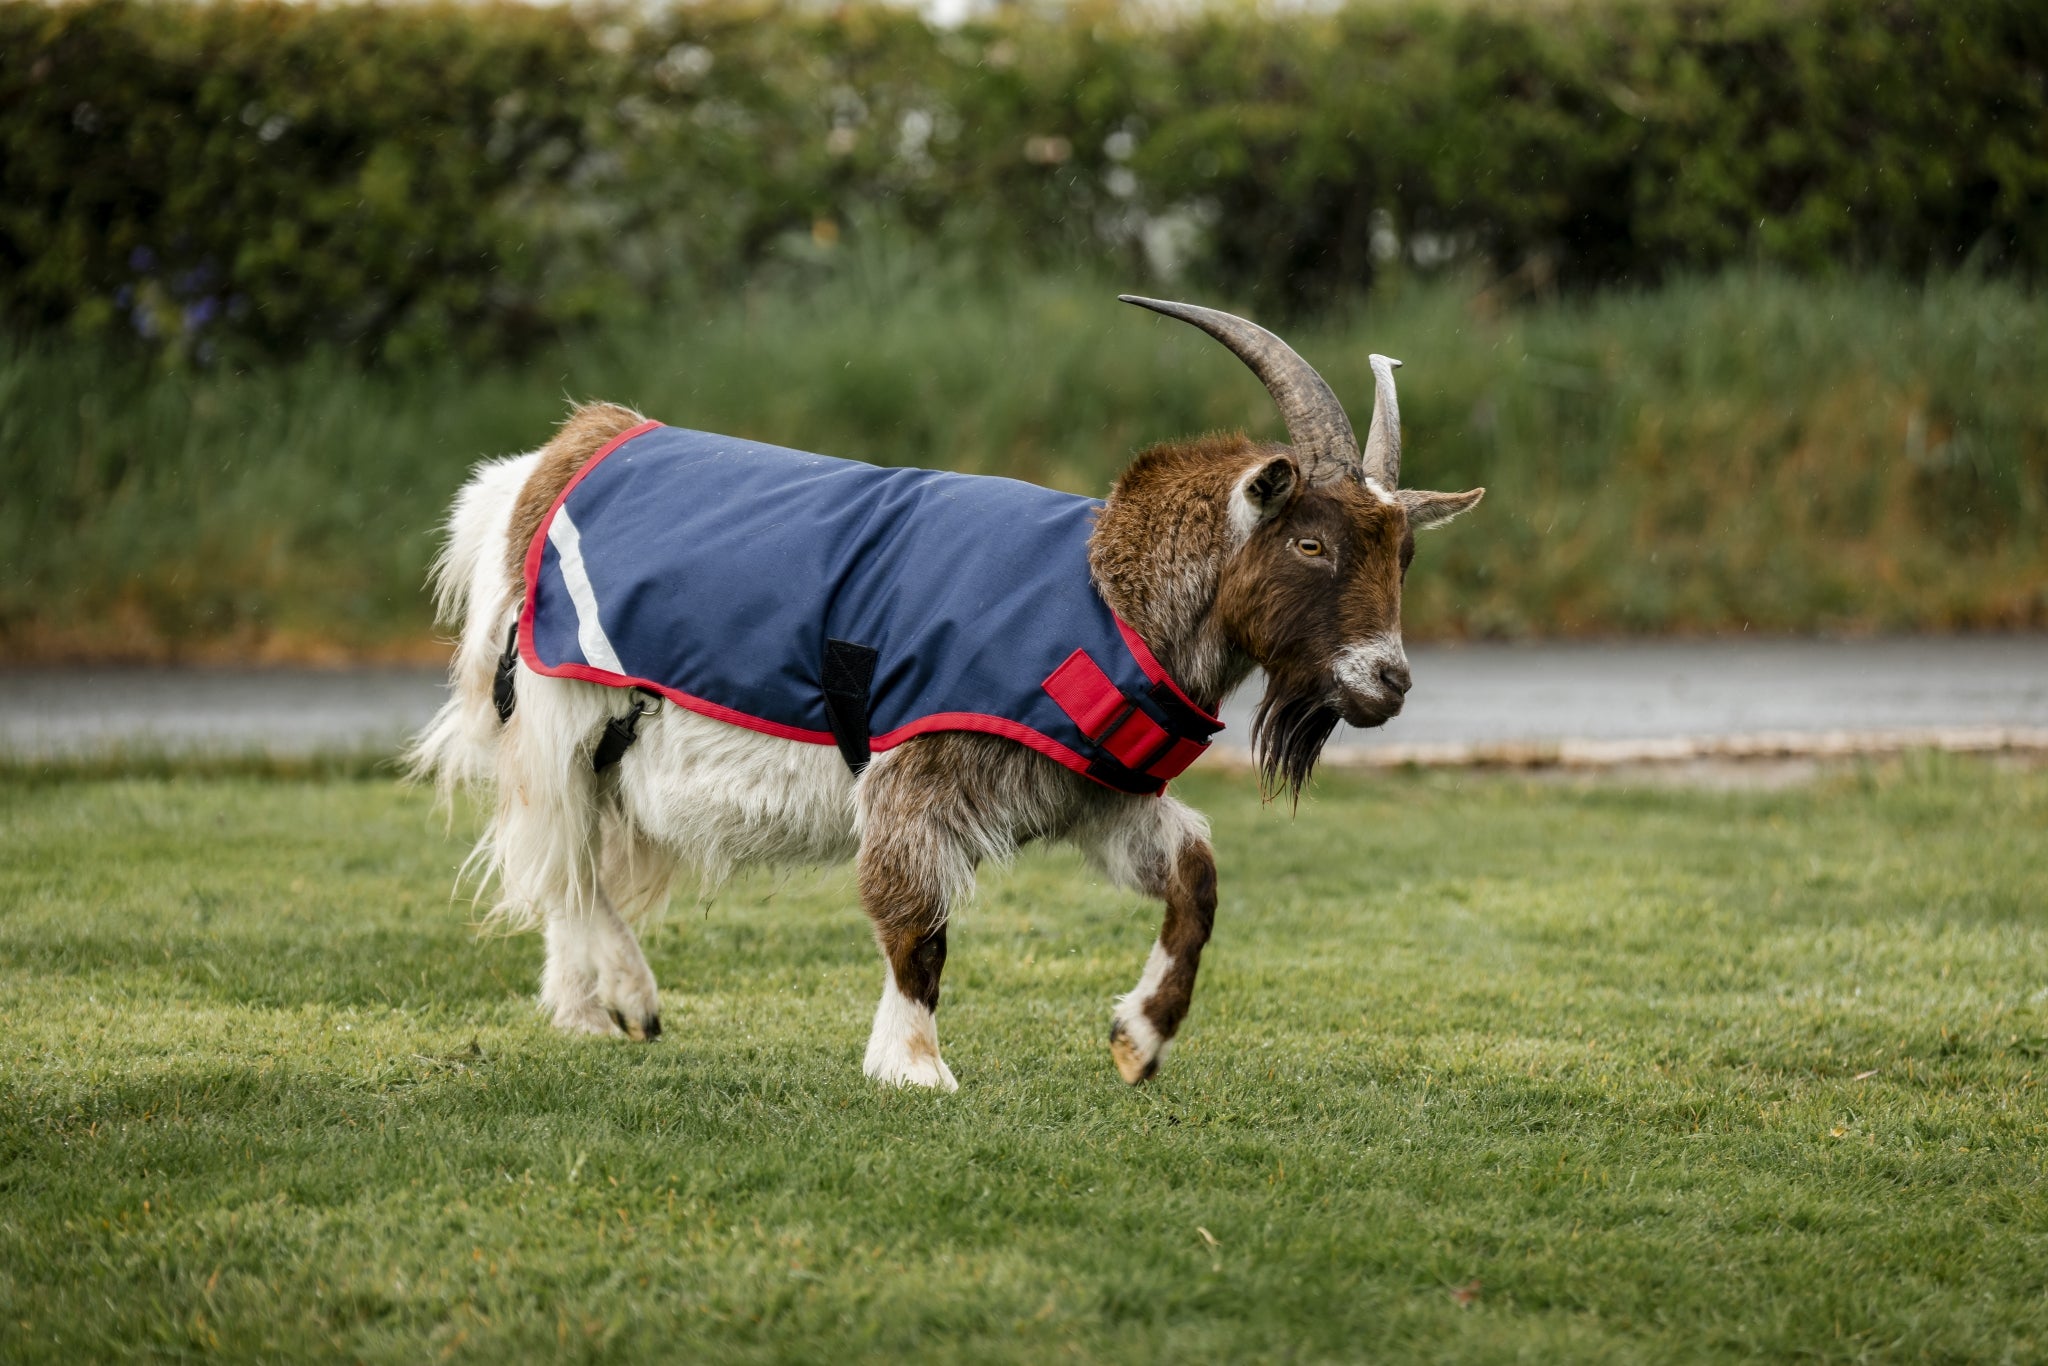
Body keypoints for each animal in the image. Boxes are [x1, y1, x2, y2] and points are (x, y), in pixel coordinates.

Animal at [409, 297, 1483, 1089]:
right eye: (1310, 543)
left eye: (1405, 552)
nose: (1386, 681)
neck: (1108, 595)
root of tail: (548, 463)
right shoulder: (920, 769)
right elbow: (913, 917)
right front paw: (914, 1067)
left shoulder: (1089, 791)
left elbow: (1195, 876)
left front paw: (1139, 1040)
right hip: (553, 708)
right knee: (558, 852)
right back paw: (629, 996)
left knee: (569, 855)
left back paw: (586, 1012)